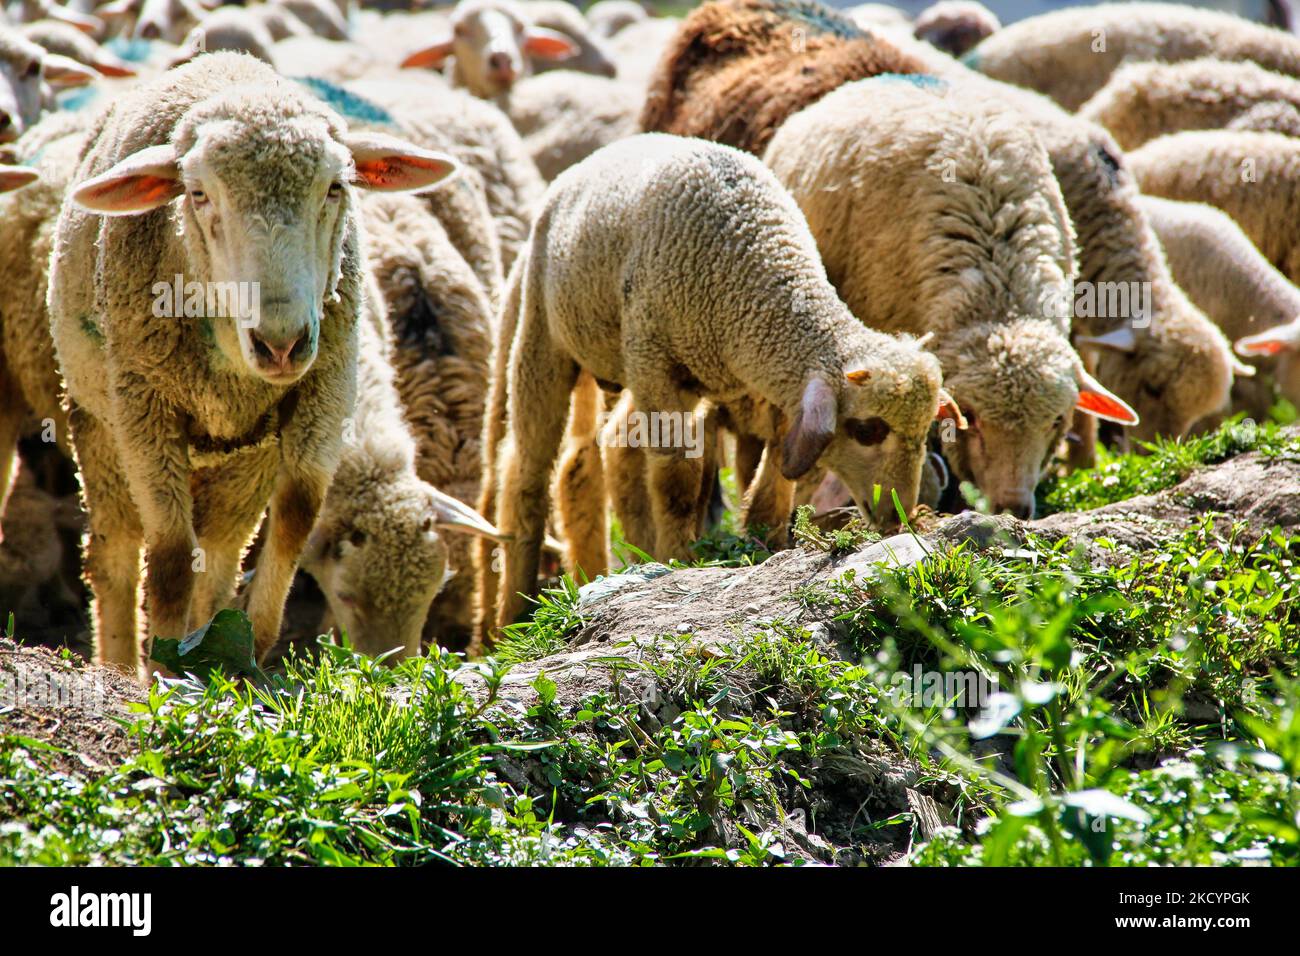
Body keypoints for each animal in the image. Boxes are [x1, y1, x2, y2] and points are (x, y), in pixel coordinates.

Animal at [45, 53, 460, 675]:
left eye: (336, 187)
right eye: (197, 194)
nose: (281, 344)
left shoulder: (325, 390)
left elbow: (294, 520)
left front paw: (255, 651)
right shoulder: (143, 408)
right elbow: (170, 554)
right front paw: (162, 668)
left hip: (245, 456)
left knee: (221, 553)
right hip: (97, 420)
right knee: (115, 554)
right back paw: (119, 661)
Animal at [491, 133, 948, 629]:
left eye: (926, 432)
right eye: (866, 430)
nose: (898, 516)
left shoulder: (772, 385)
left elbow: (774, 476)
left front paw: (767, 544)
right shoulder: (657, 364)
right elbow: (677, 481)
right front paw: (679, 557)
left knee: (616, 444)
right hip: (543, 337)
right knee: (525, 475)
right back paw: (512, 612)